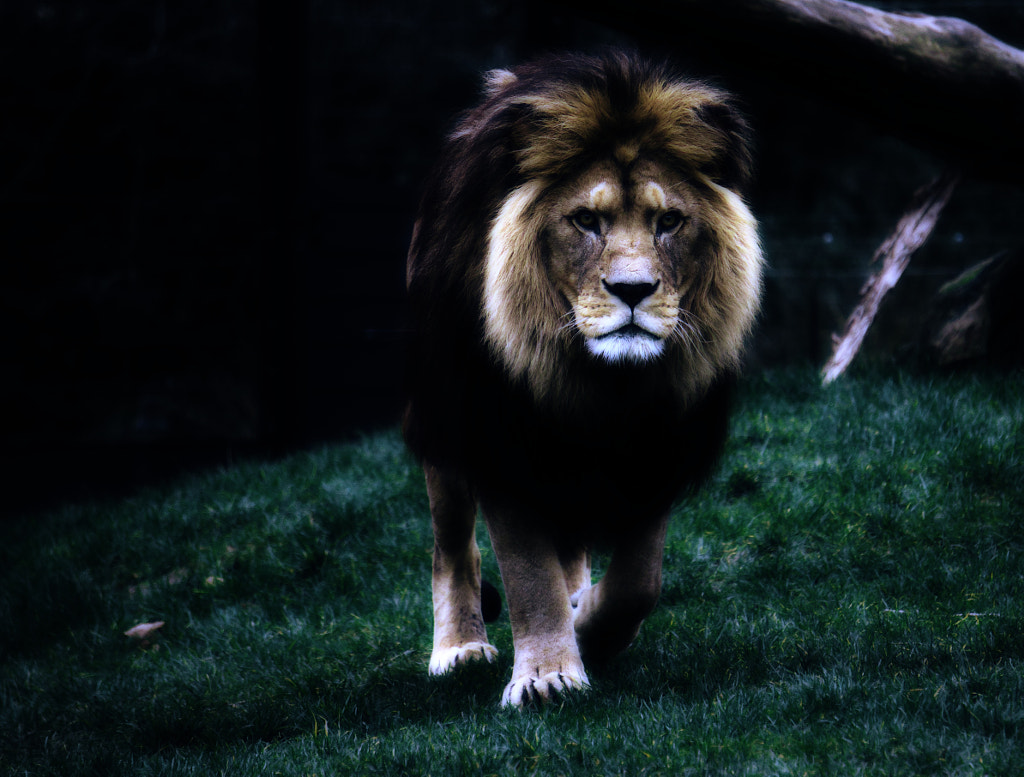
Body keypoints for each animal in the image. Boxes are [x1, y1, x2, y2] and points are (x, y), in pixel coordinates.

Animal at [403, 51, 763, 707]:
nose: (632, 290)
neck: (603, 387)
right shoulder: (501, 442)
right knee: (452, 545)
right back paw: (459, 648)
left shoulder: (664, 445)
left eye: (669, 221)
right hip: (441, 418)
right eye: (586, 221)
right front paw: (548, 677)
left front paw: (589, 631)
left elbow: (639, 582)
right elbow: (526, 572)